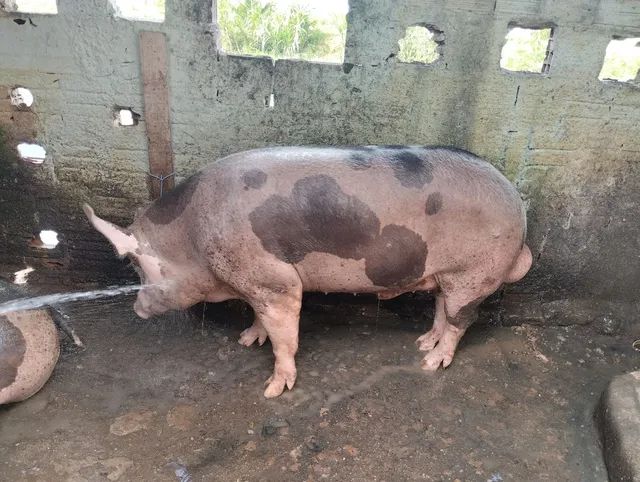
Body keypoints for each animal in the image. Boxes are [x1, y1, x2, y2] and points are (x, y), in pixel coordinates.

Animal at [84, 146, 532, 398]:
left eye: (139, 266)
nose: (136, 308)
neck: (193, 237)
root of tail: (517, 202)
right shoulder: (254, 283)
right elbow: (258, 317)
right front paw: (247, 339)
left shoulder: (273, 279)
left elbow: (285, 334)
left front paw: (272, 391)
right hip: (448, 274)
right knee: (441, 306)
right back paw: (423, 344)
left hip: (475, 271)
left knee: (462, 319)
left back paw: (432, 362)